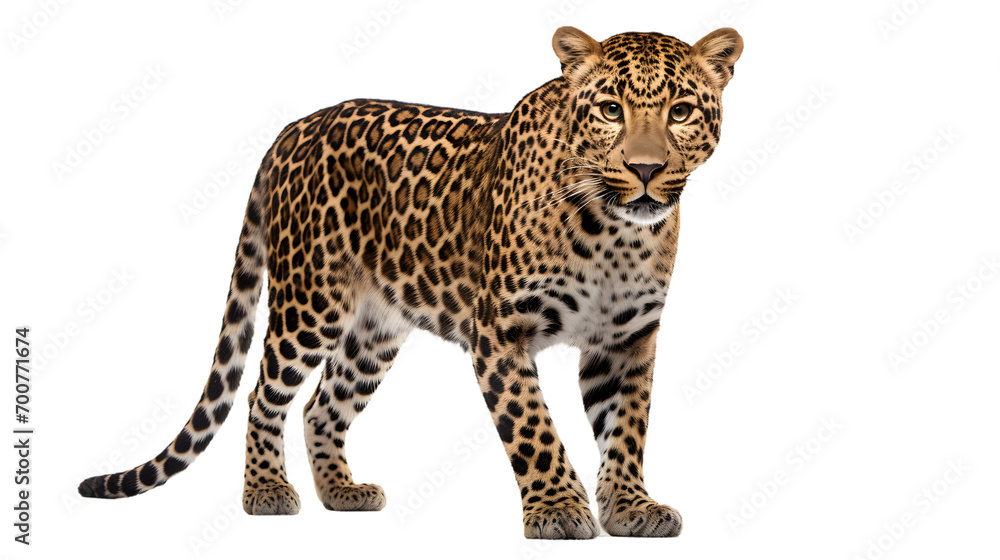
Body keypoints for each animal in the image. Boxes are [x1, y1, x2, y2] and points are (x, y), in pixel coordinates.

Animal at [78, 26, 743, 539]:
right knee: (264, 395)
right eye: (610, 110)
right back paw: (265, 492)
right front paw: (557, 511)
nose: (645, 169)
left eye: (681, 111)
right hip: (309, 306)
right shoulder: (499, 333)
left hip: (374, 331)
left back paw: (342, 493)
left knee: (322, 406)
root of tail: (292, 129)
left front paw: (630, 507)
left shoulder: (626, 341)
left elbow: (626, 428)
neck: (616, 233)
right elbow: (533, 427)